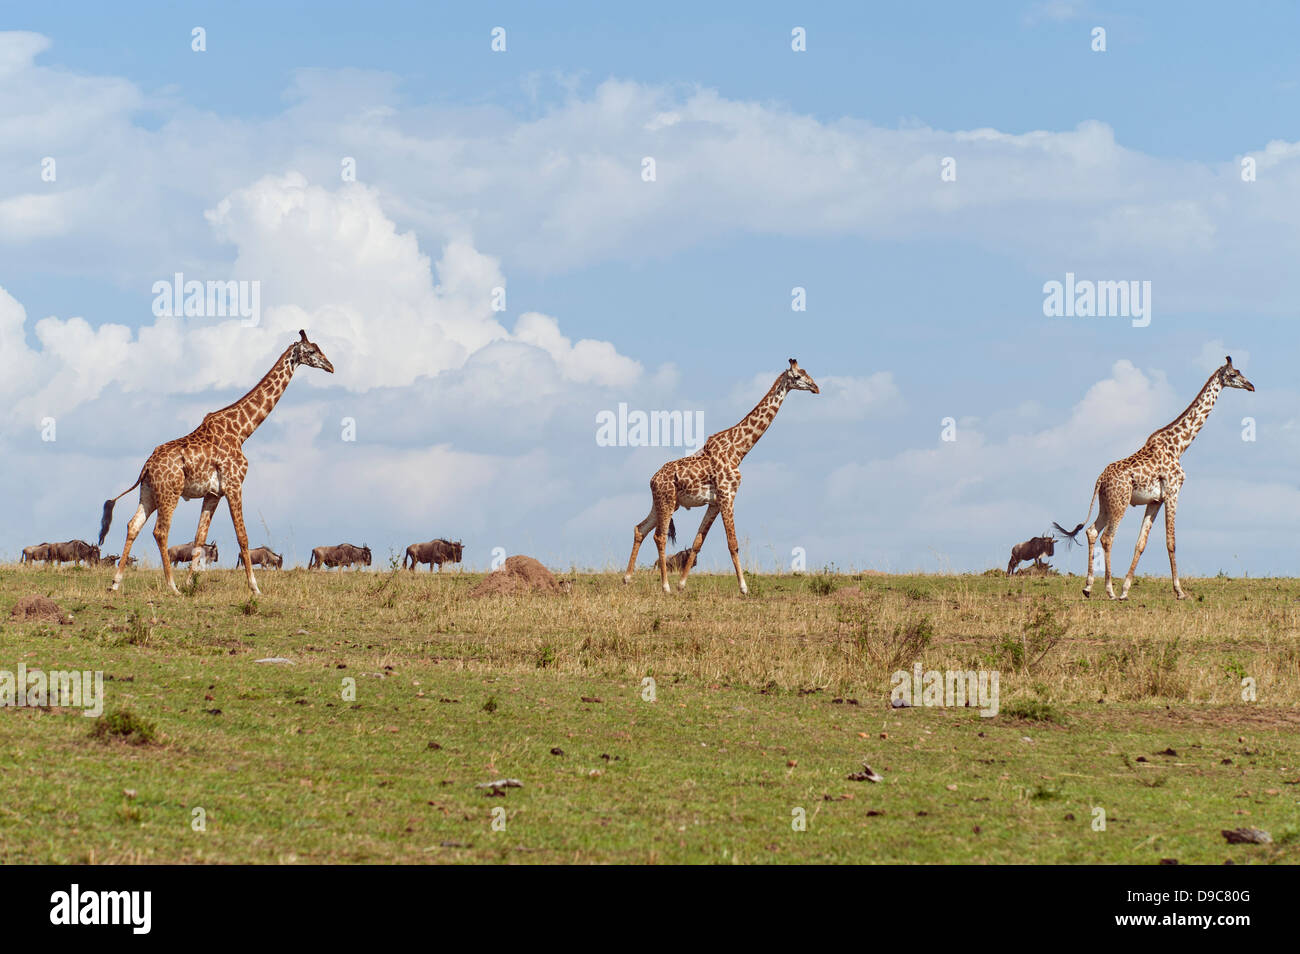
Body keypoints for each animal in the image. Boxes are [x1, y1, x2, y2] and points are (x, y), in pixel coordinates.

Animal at [98, 330, 334, 595]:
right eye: (312, 351)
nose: (331, 366)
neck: (242, 431)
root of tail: (146, 467)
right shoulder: (234, 484)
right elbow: (242, 536)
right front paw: (255, 587)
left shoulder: (213, 493)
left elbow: (200, 538)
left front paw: (190, 583)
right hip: (170, 492)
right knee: (160, 531)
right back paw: (171, 586)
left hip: (149, 492)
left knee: (133, 525)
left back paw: (116, 583)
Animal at [623, 358, 820, 595]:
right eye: (798, 376)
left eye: (807, 373)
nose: (816, 388)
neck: (739, 450)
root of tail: (652, 480)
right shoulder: (728, 496)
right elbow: (732, 543)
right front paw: (743, 587)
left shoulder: (714, 502)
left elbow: (698, 541)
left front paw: (682, 584)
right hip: (667, 501)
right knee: (659, 536)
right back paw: (665, 586)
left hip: (662, 502)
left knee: (640, 529)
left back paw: (627, 578)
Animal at [1054, 356, 1253, 601]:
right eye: (1234, 374)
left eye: (1240, 372)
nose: (1251, 386)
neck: (1179, 446)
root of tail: (1099, 480)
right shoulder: (1173, 492)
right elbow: (1171, 541)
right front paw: (1180, 591)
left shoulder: (1155, 501)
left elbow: (1141, 542)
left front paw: (1126, 590)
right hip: (1120, 503)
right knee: (1107, 537)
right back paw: (1109, 590)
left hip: (1106, 503)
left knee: (1092, 531)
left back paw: (1088, 587)